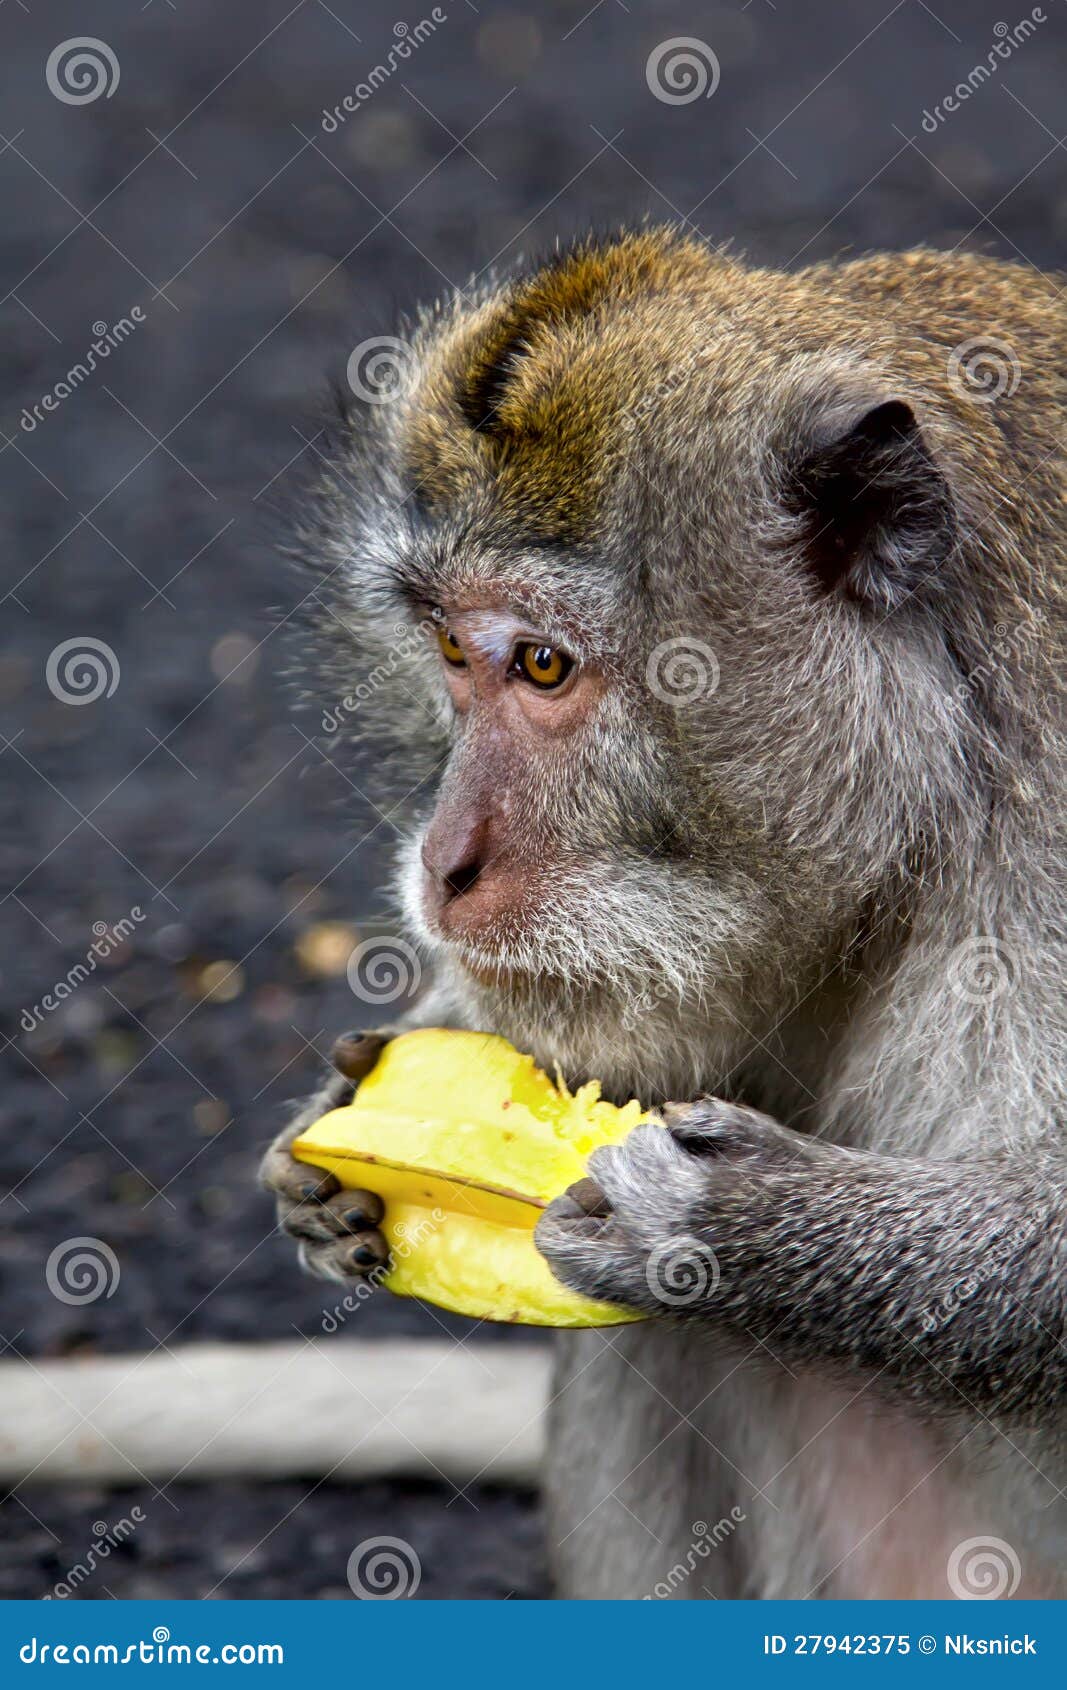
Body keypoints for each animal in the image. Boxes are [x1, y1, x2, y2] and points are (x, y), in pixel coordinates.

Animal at [261, 228, 1066, 1600]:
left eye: (542, 662)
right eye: (450, 653)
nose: (442, 862)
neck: (942, 761)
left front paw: (727, 1229)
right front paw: (329, 1135)